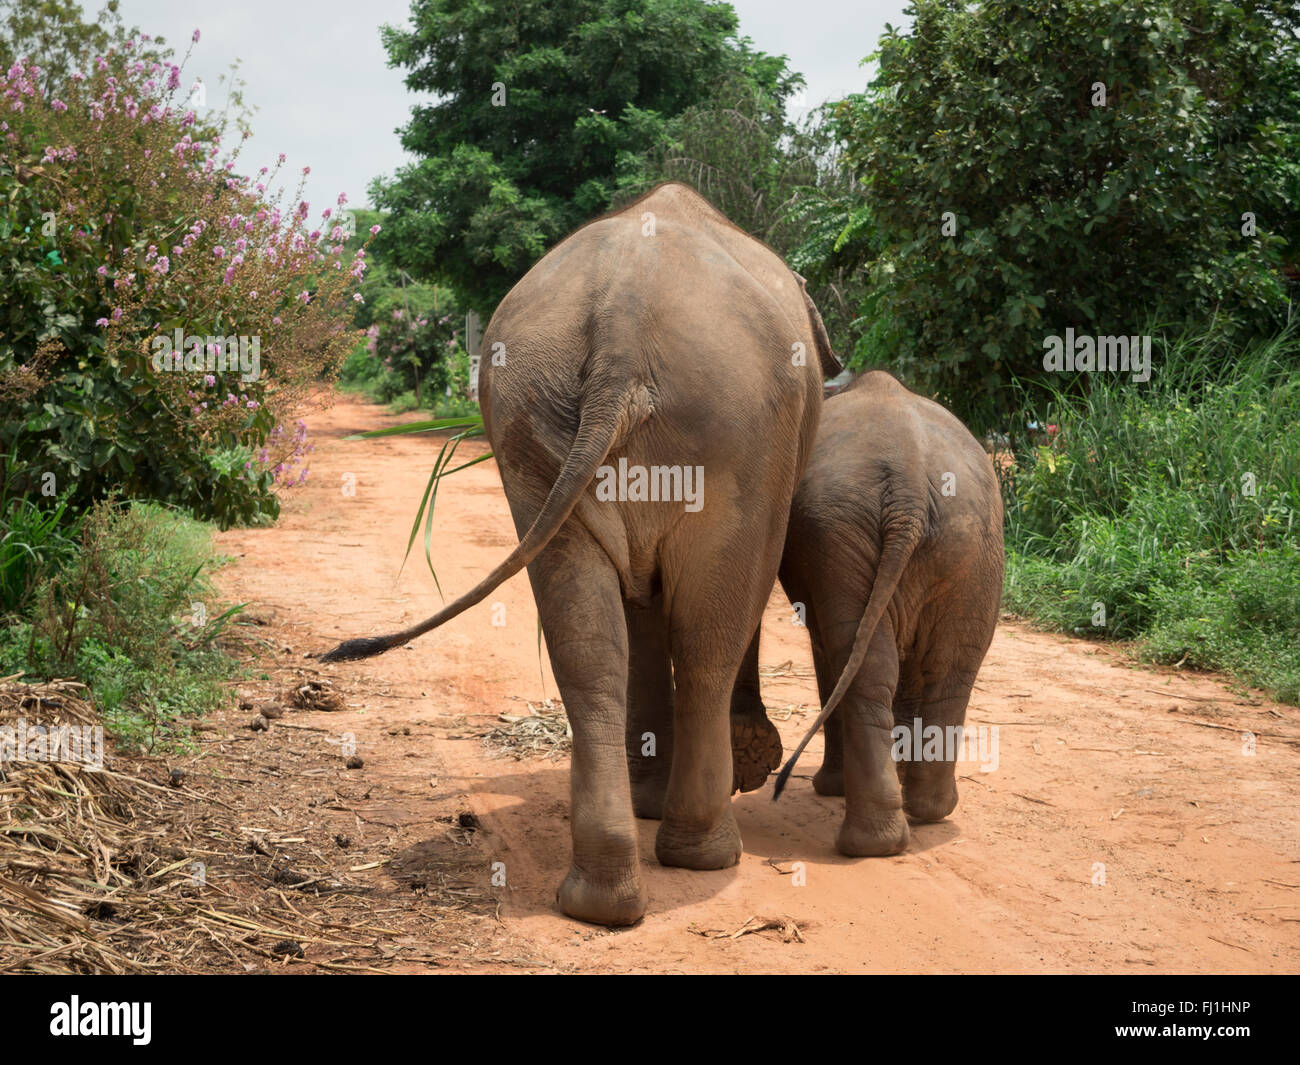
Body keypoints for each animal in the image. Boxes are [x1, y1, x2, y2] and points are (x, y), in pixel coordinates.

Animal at [320, 183, 842, 925]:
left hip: (533, 426)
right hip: (736, 439)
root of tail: (623, 329)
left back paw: (601, 897)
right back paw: (703, 855)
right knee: (706, 636)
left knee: (587, 643)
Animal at [731, 370, 1004, 858]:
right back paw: (924, 812)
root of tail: (911, 487)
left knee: (871, 664)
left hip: (902, 541)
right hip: (955, 544)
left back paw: (875, 836)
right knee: (946, 670)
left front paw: (833, 789)